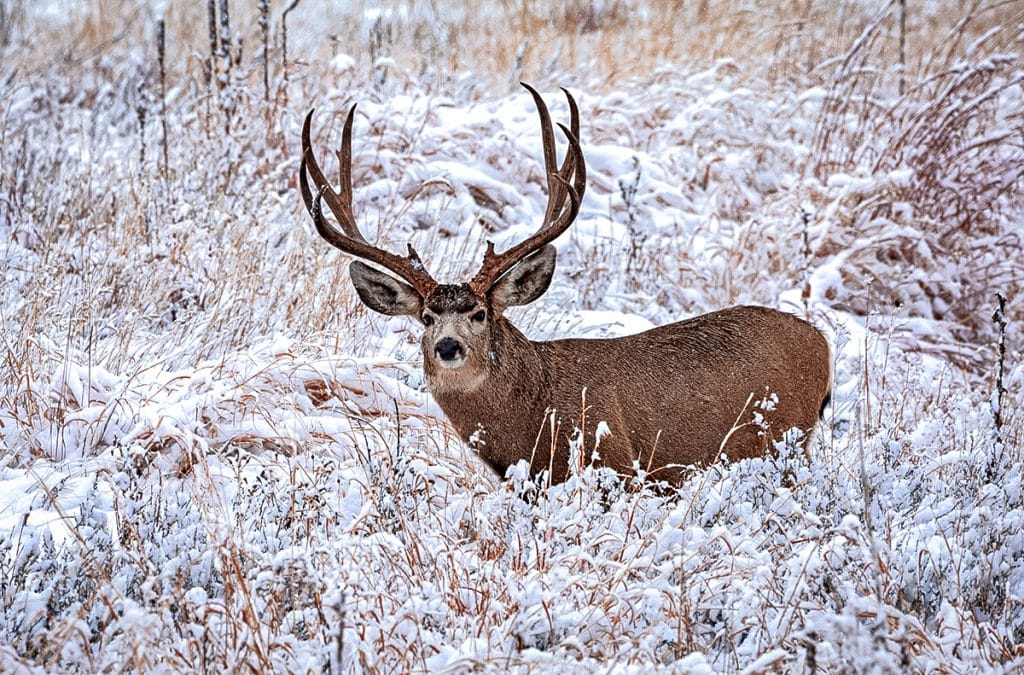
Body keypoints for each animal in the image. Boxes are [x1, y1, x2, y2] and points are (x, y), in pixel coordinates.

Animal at [299, 84, 832, 486]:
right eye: (426, 316)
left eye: (480, 313)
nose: (448, 346)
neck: (536, 412)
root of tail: (822, 343)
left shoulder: (616, 464)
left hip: (784, 438)